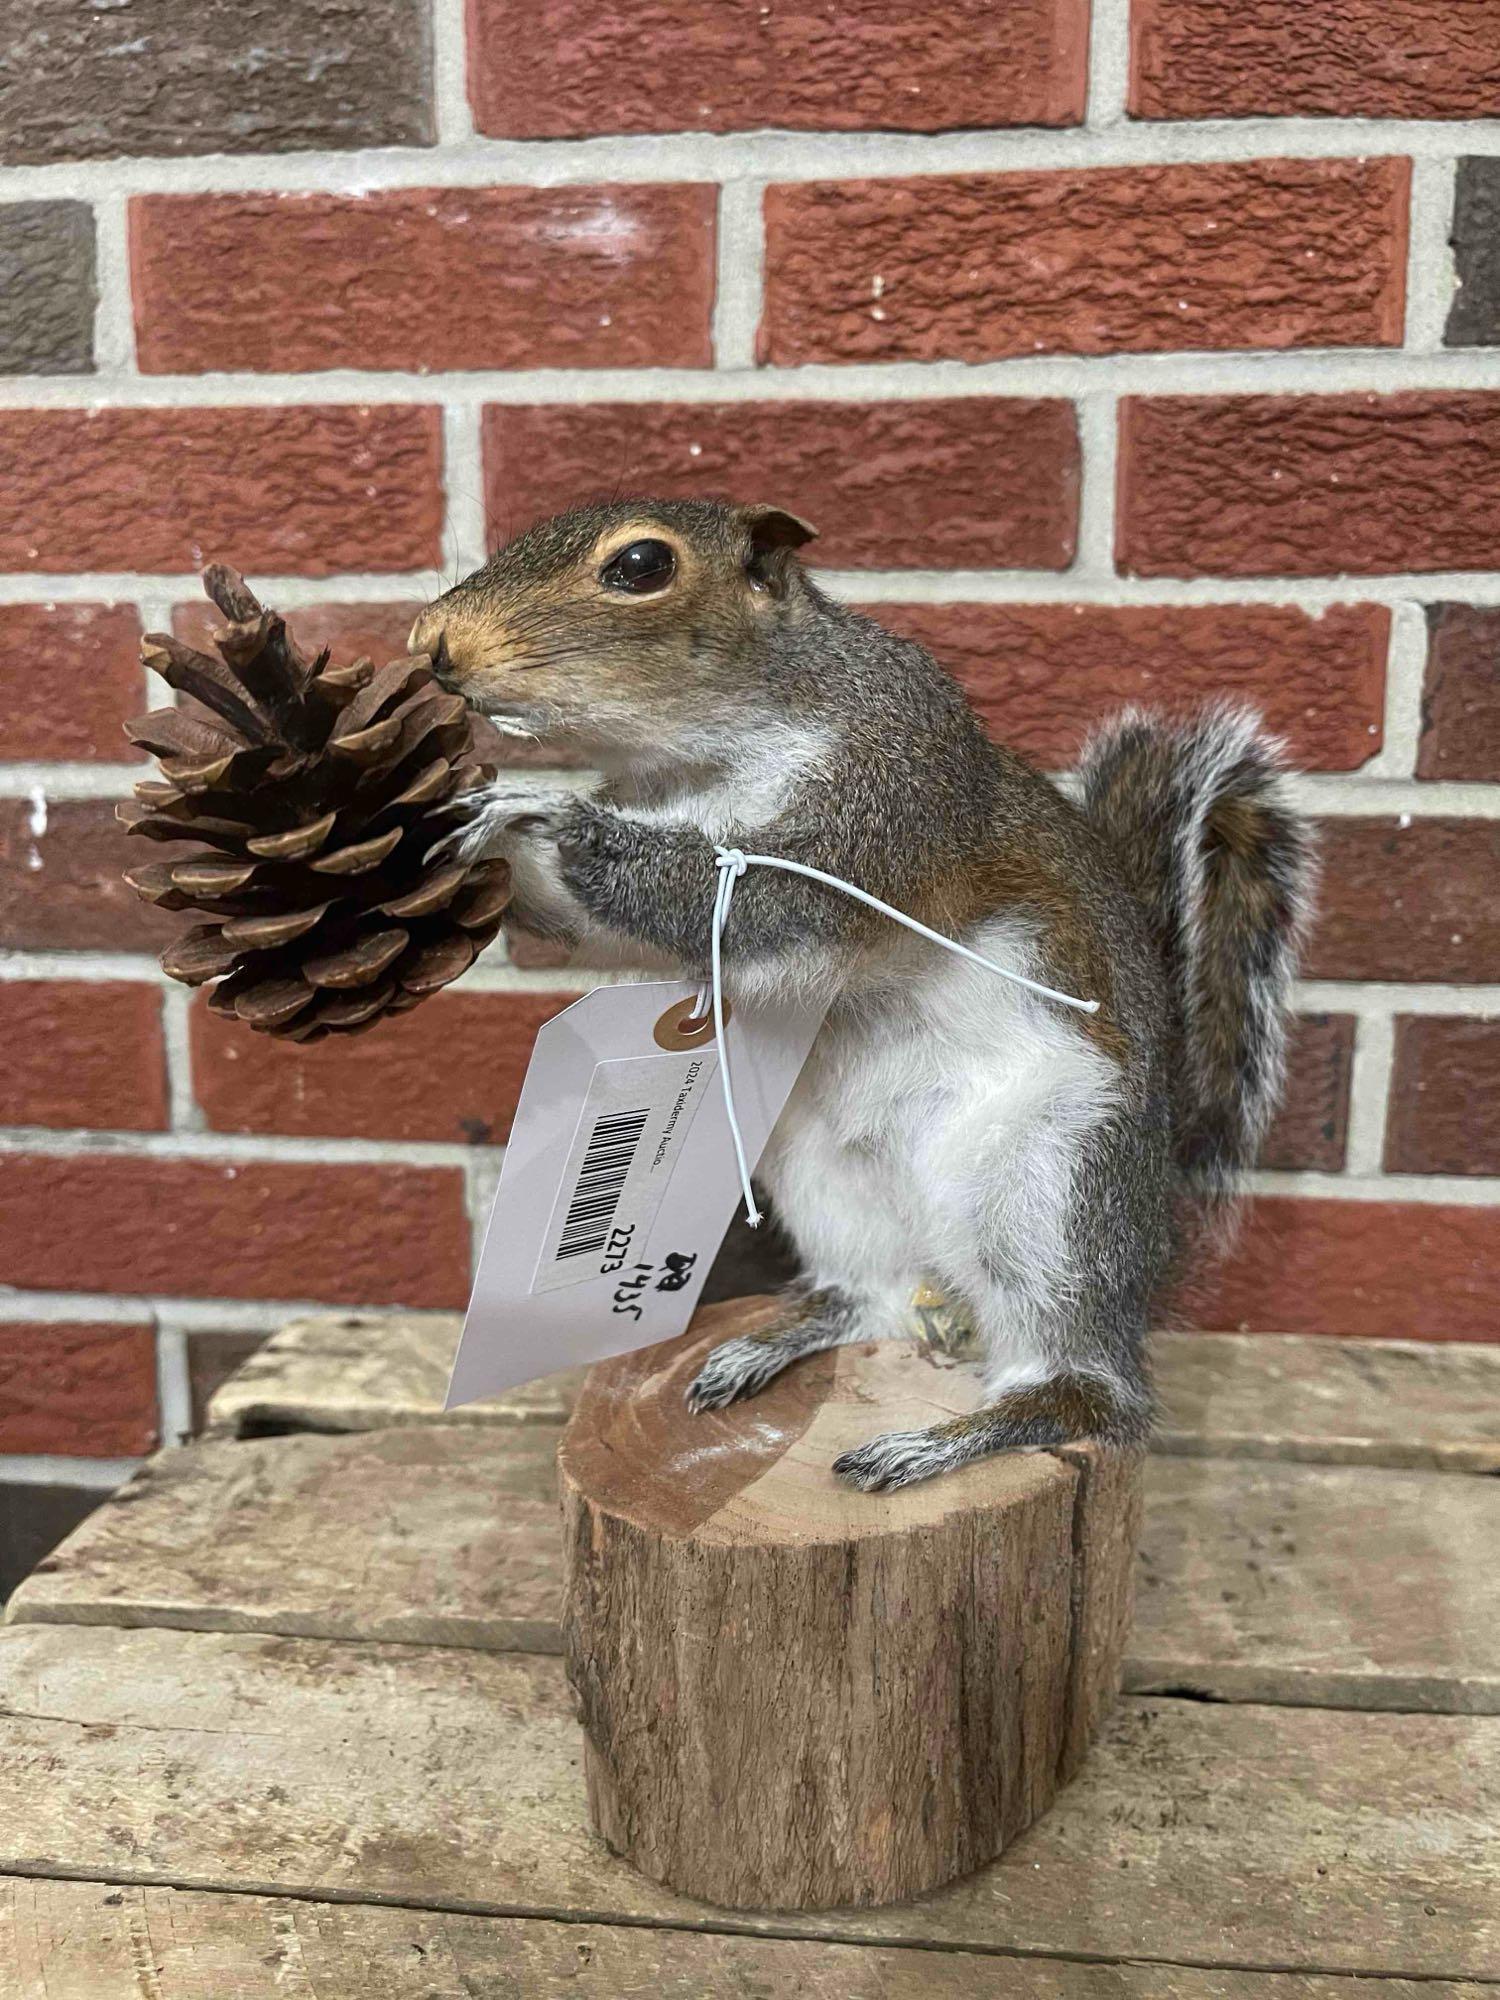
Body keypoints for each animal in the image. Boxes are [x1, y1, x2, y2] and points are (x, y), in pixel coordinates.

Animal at [411, 499, 1314, 1492]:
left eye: (642, 566)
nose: (433, 644)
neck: (703, 756)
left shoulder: (890, 796)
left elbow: (765, 897)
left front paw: (543, 809)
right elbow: (600, 928)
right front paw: (474, 824)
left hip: (1054, 1189)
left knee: (1090, 1393)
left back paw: (943, 1441)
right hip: (823, 1181)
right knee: (872, 1302)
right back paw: (772, 1343)